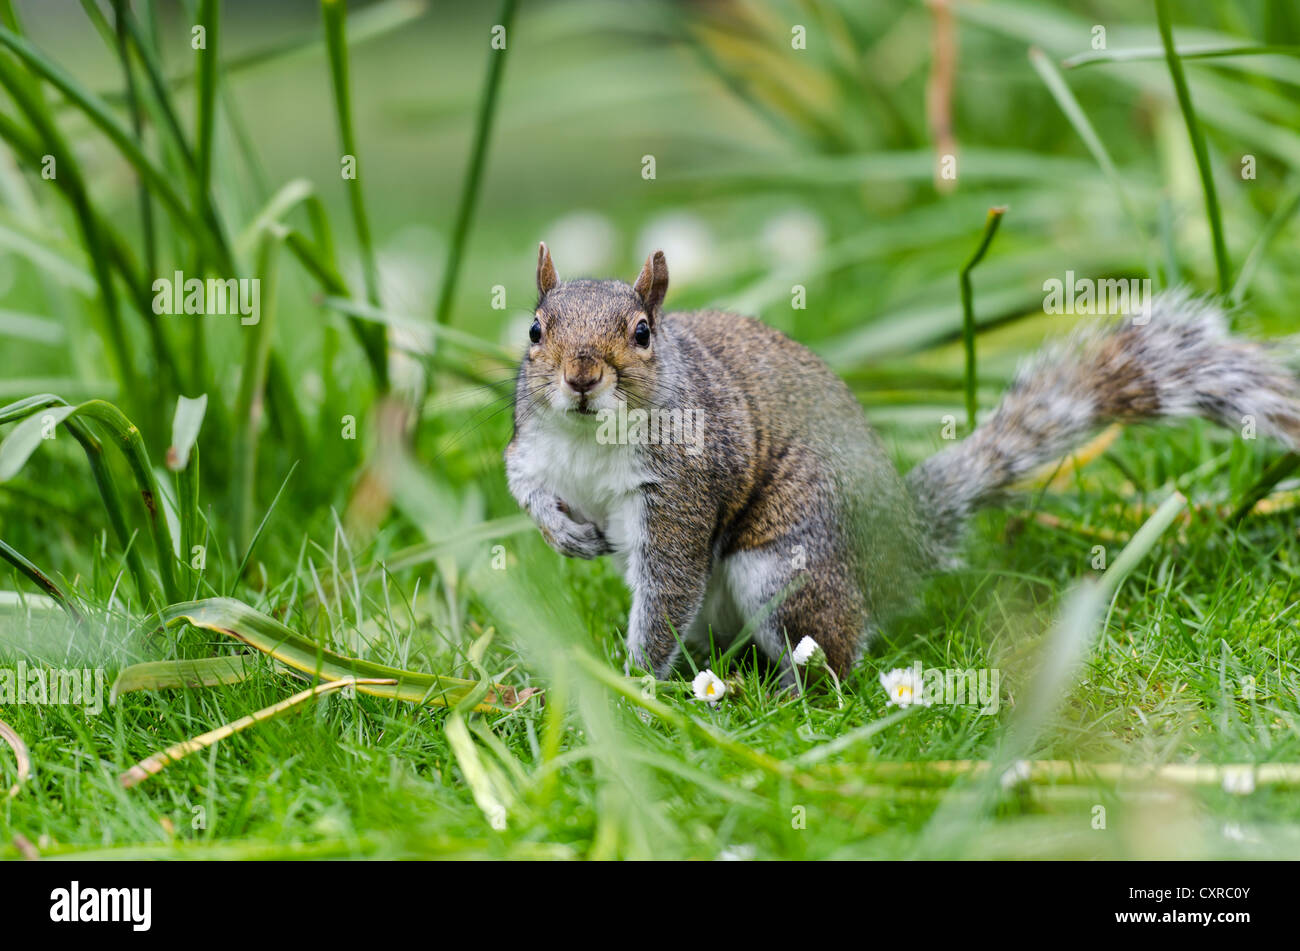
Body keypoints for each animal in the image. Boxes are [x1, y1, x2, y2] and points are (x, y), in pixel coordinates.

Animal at [506, 242, 1300, 686]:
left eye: (642, 332)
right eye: (535, 330)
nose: (581, 377)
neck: (588, 437)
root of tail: (897, 549)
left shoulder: (682, 486)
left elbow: (666, 588)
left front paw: (633, 684)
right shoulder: (532, 446)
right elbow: (526, 487)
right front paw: (564, 533)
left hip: (785, 570)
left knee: (831, 654)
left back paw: (786, 698)